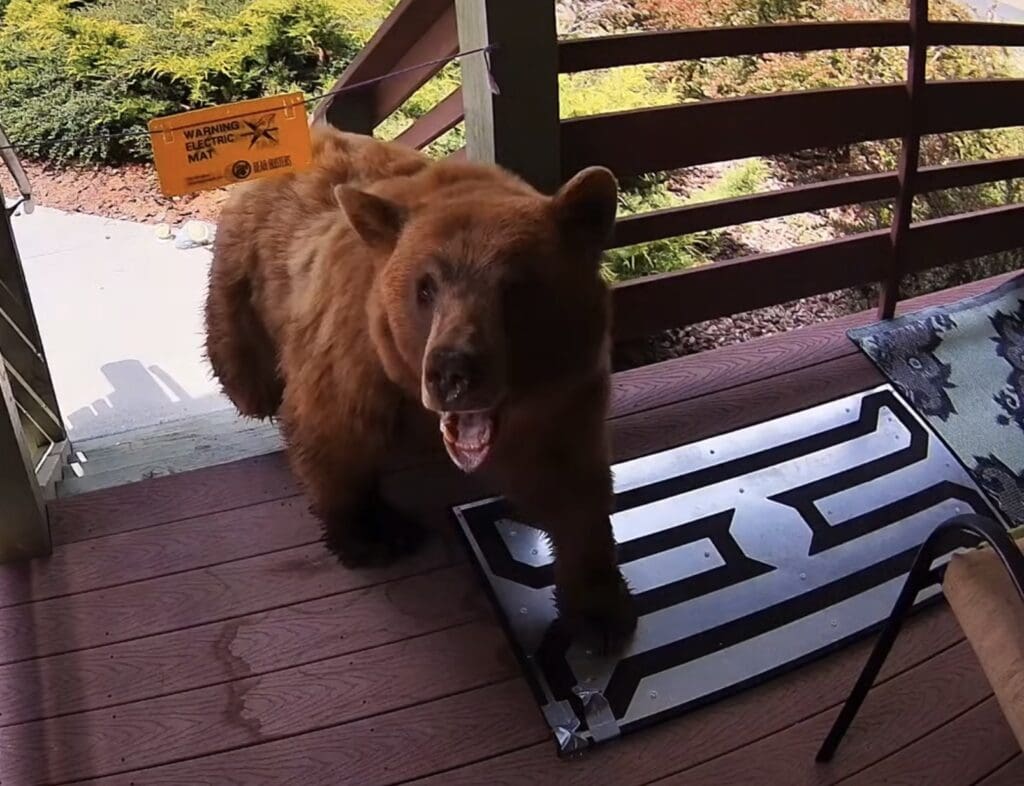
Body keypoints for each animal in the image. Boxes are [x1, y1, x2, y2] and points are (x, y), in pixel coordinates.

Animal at [205, 124, 637, 646]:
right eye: (424, 288)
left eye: (515, 289)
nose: (452, 371)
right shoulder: (356, 359)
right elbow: (333, 437)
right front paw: (374, 534)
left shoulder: (563, 392)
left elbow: (572, 485)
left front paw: (599, 611)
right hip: (240, 285)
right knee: (245, 375)